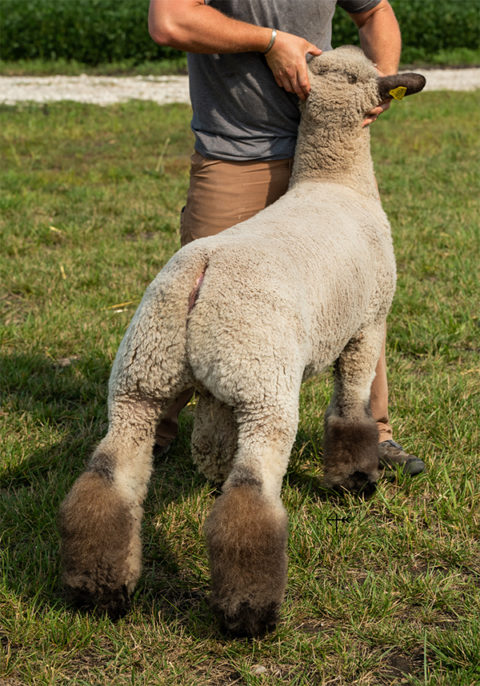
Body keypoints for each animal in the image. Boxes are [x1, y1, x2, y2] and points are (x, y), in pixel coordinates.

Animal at [59, 46, 426, 637]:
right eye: (362, 74)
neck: (336, 181)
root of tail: (199, 276)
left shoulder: (216, 388)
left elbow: (210, 441)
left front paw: (211, 473)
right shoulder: (367, 326)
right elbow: (352, 409)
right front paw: (354, 482)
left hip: (145, 375)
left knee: (106, 478)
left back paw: (99, 592)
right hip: (263, 385)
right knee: (249, 498)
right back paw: (250, 615)